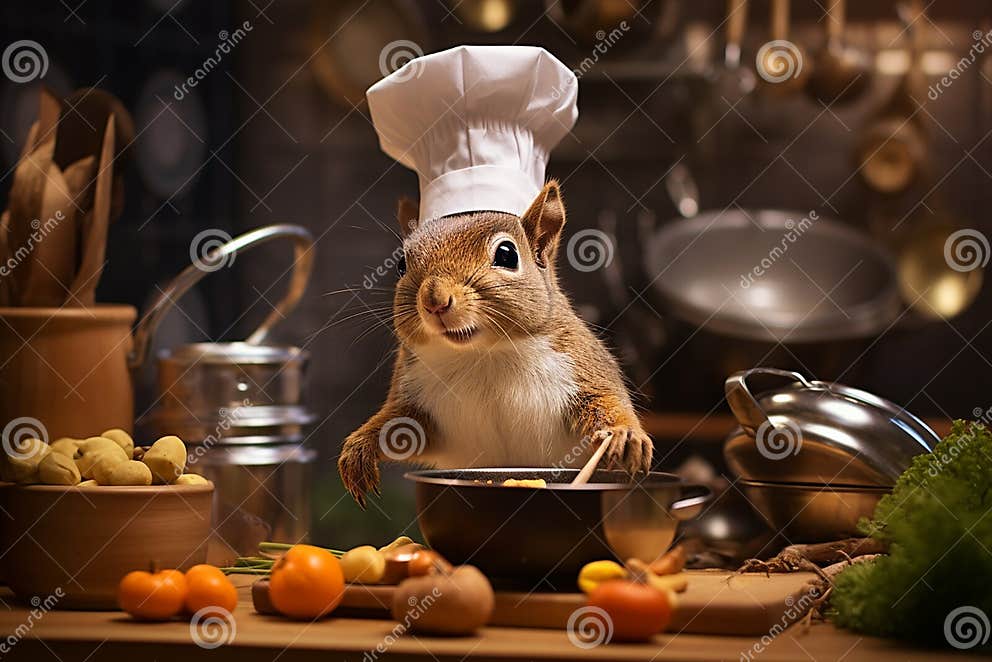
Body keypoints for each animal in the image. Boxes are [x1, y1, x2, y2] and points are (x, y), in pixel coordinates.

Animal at [338, 181, 653, 505]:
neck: (484, 354)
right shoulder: (414, 391)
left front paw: (624, 435)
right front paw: (359, 449)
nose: (434, 300)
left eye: (507, 255)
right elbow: (398, 425)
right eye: (401, 264)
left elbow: (605, 401)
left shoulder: (580, 364)